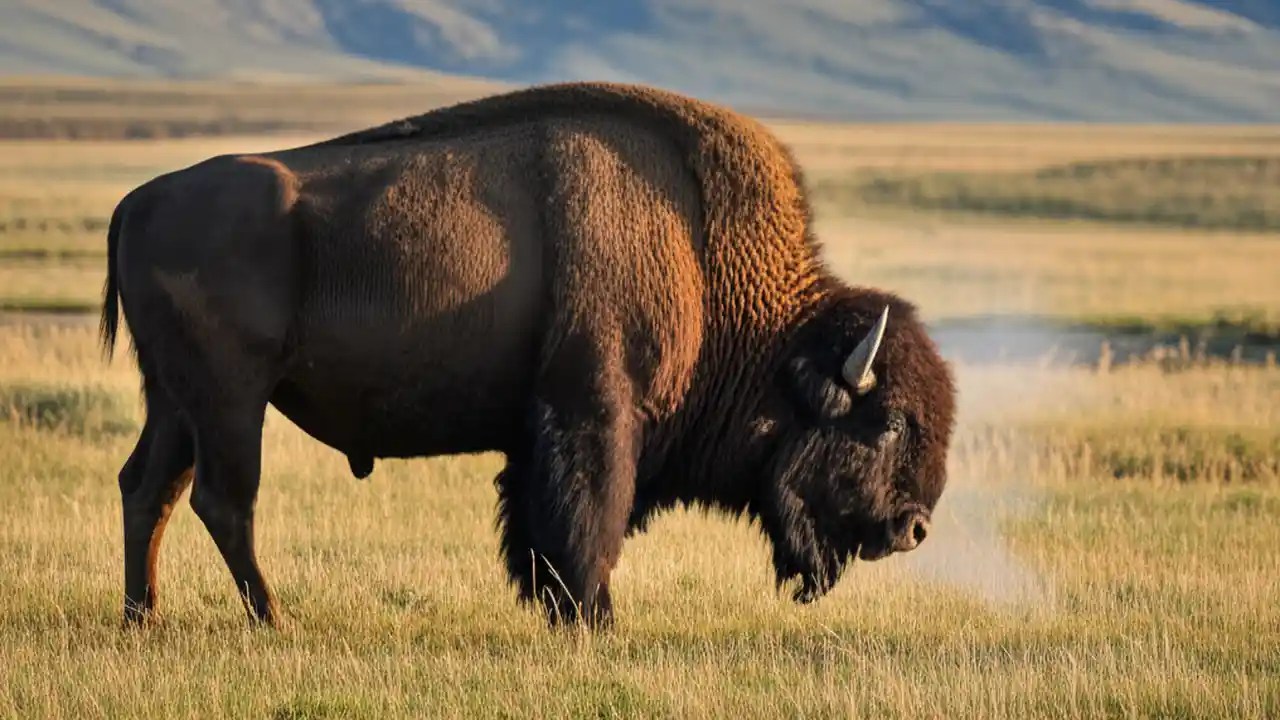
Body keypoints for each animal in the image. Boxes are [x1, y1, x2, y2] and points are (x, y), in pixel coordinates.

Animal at [102, 82, 956, 627]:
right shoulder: (597, 412)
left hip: (175, 400)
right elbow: (589, 521)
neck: (707, 261)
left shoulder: (540, 433)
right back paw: (271, 619)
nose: (914, 529)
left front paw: (552, 608)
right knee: (223, 500)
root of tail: (139, 200)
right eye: (886, 424)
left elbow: (540, 529)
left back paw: (145, 618)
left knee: (148, 488)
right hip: (230, 400)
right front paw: (595, 619)